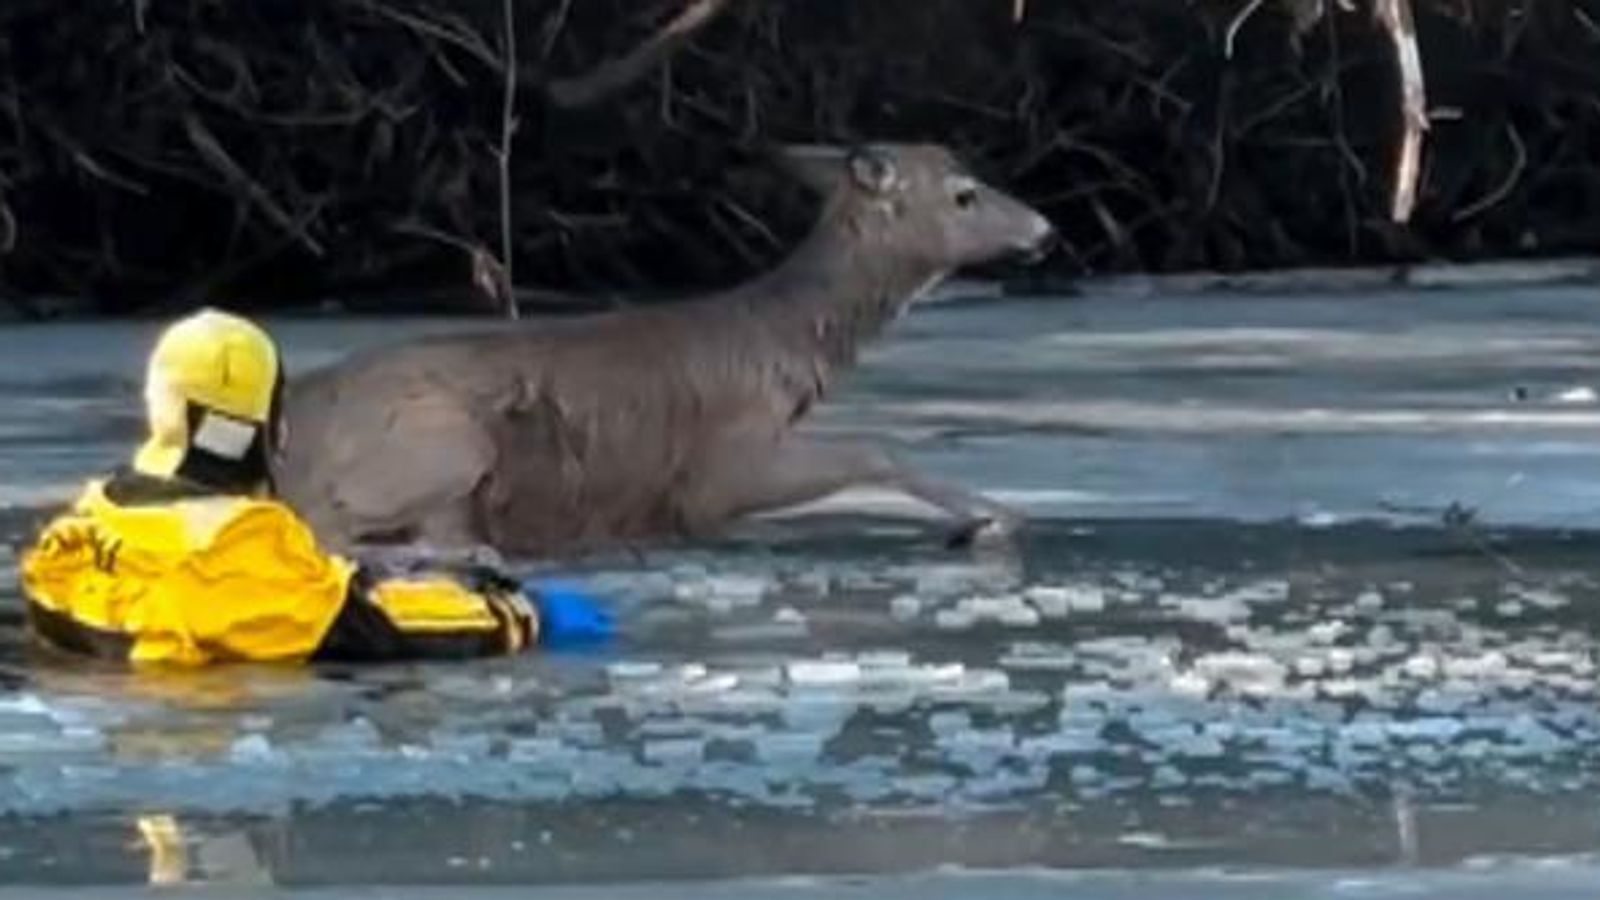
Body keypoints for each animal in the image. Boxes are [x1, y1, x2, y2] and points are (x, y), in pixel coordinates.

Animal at [272, 143, 1056, 562]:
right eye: (964, 195)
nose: (1045, 229)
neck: (779, 342)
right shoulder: (715, 470)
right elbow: (875, 447)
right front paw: (991, 516)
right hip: (441, 442)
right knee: (327, 526)